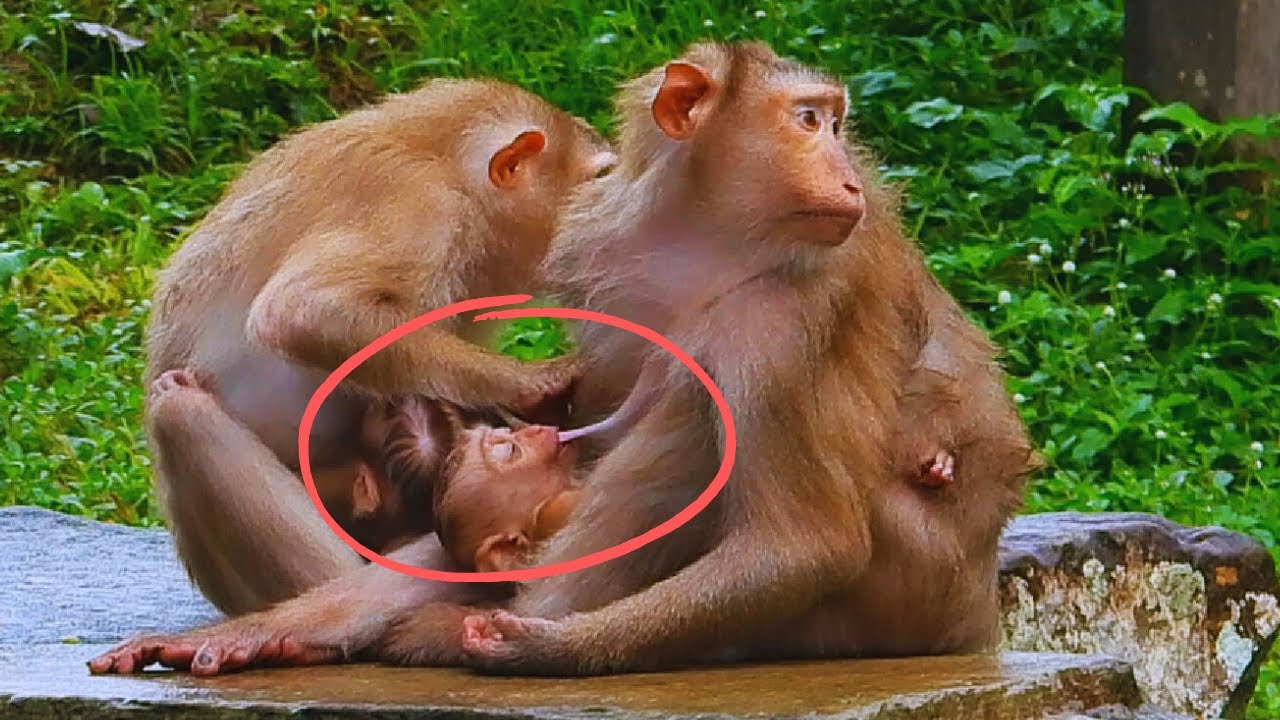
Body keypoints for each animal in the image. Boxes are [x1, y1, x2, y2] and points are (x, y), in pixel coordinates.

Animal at [142, 77, 615, 616]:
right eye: (598, 177)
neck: (447, 164)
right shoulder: (419, 204)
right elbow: (300, 311)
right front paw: (535, 383)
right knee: (177, 406)